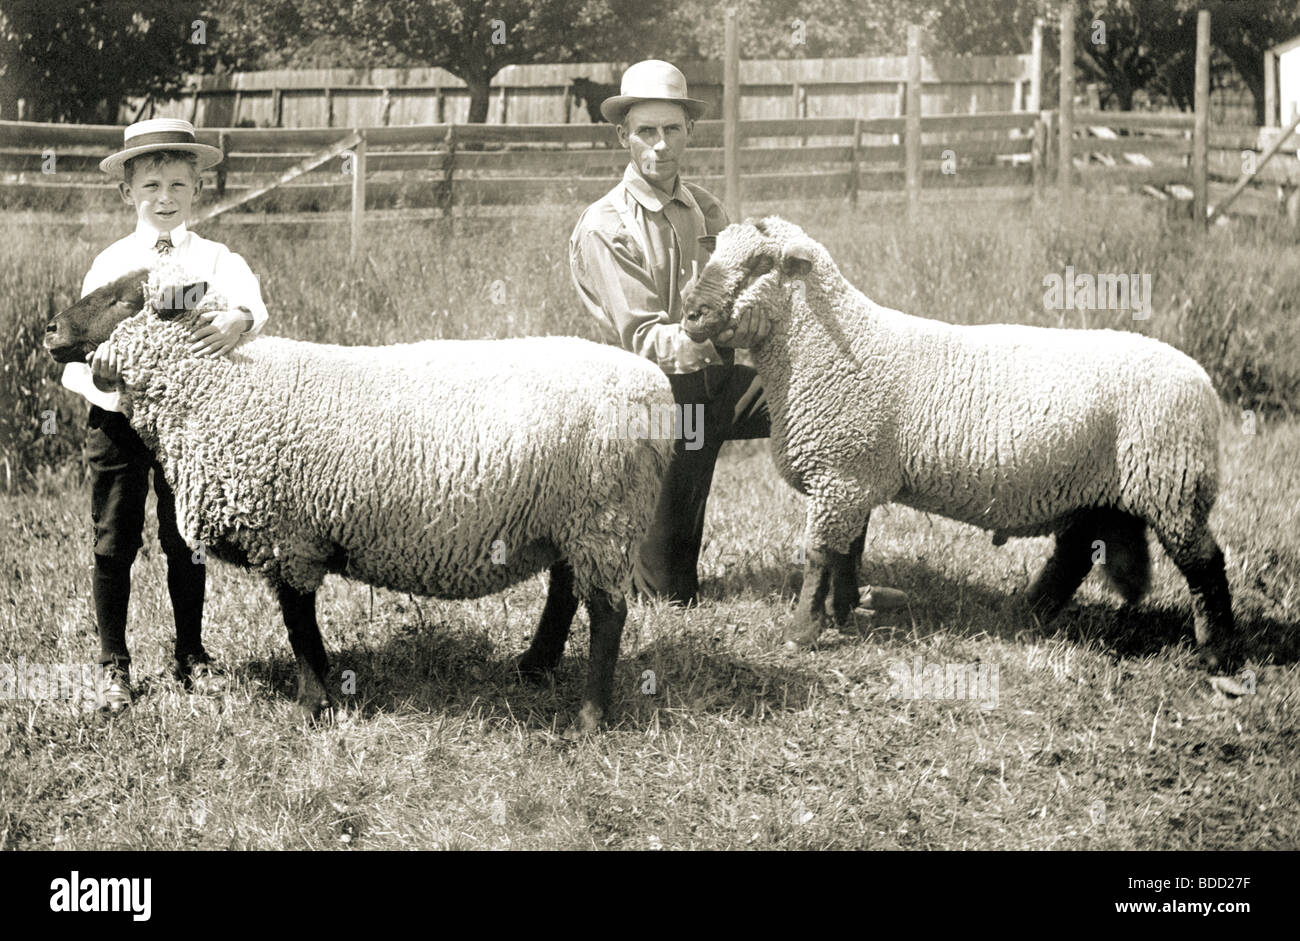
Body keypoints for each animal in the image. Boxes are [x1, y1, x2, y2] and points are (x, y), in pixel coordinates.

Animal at [45, 267, 675, 731]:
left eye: (121, 299)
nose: (50, 331)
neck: (221, 388)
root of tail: (655, 386)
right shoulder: (294, 536)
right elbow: (302, 625)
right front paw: (326, 686)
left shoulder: (288, 536)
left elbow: (298, 624)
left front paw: (313, 705)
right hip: (573, 518)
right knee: (567, 591)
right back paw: (534, 668)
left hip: (605, 513)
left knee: (608, 613)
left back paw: (590, 718)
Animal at [681, 217, 1236, 668]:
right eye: (714, 251)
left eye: (761, 263)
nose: (690, 311)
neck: (834, 343)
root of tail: (1202, 381)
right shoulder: (853, 476)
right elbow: (848, 553)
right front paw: (842, 613)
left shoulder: (840, 474)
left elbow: (819, 557)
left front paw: (800, 632)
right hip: (1102, 488)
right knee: (1076, 554)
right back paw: (1028, 614)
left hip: (1171, 482)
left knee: (1205, 564)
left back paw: (1216, 653)